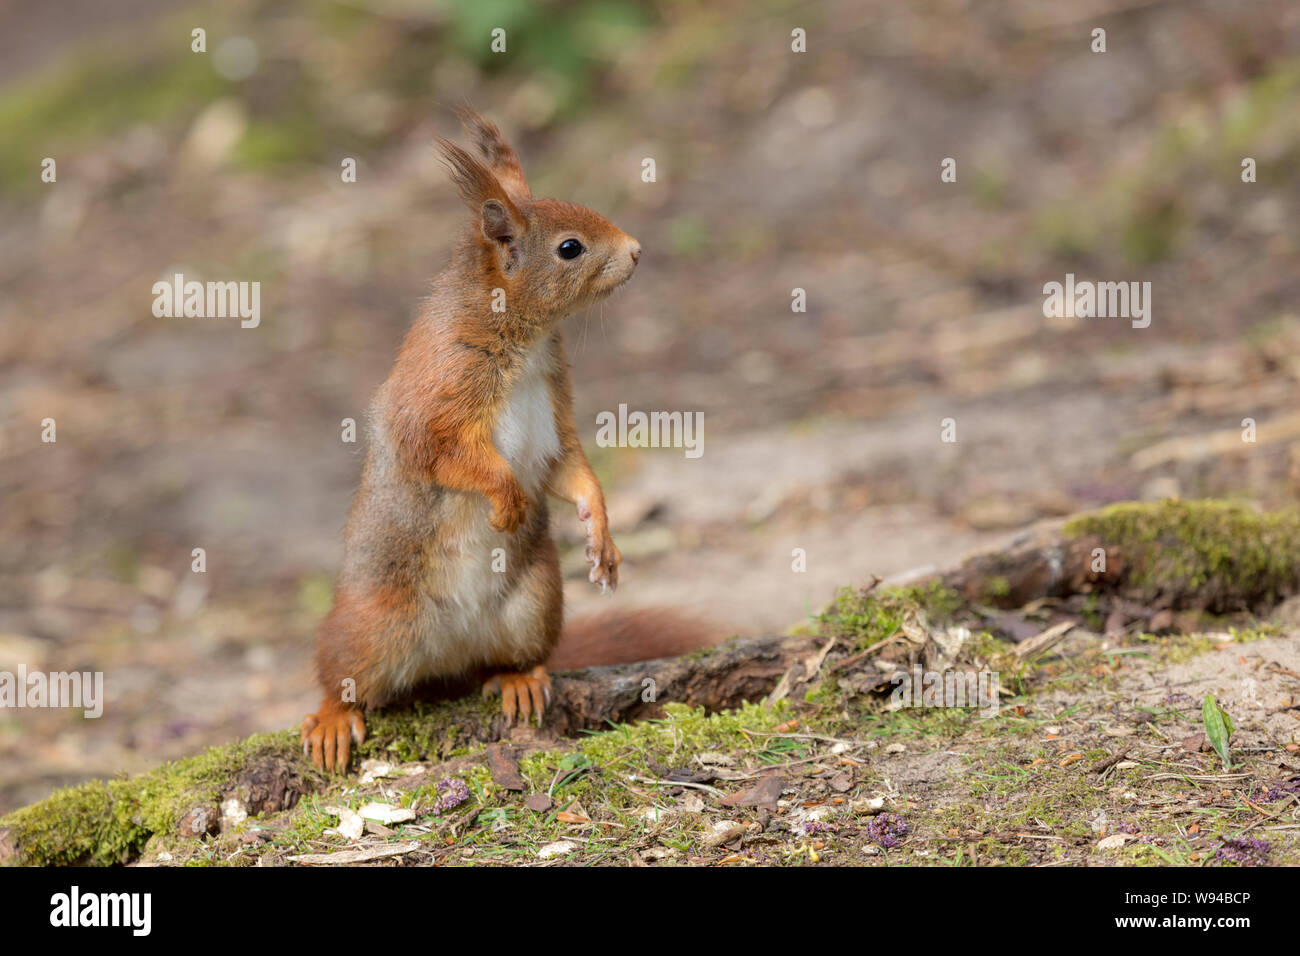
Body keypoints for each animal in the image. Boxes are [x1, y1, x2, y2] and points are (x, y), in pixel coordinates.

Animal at [302, 109, 718, 771]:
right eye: (569, 247)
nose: (636, 250)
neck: (523, 338)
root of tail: (449, 659)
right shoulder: (439, 388)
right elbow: (442, 454)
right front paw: (507, 498)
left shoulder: (554, 407)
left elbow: (568, 468)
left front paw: (602, 535)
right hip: (371, 627)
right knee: (341, 676)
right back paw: (334, 719)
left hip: (535, 601)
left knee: (511, 658)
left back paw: (520, 679)